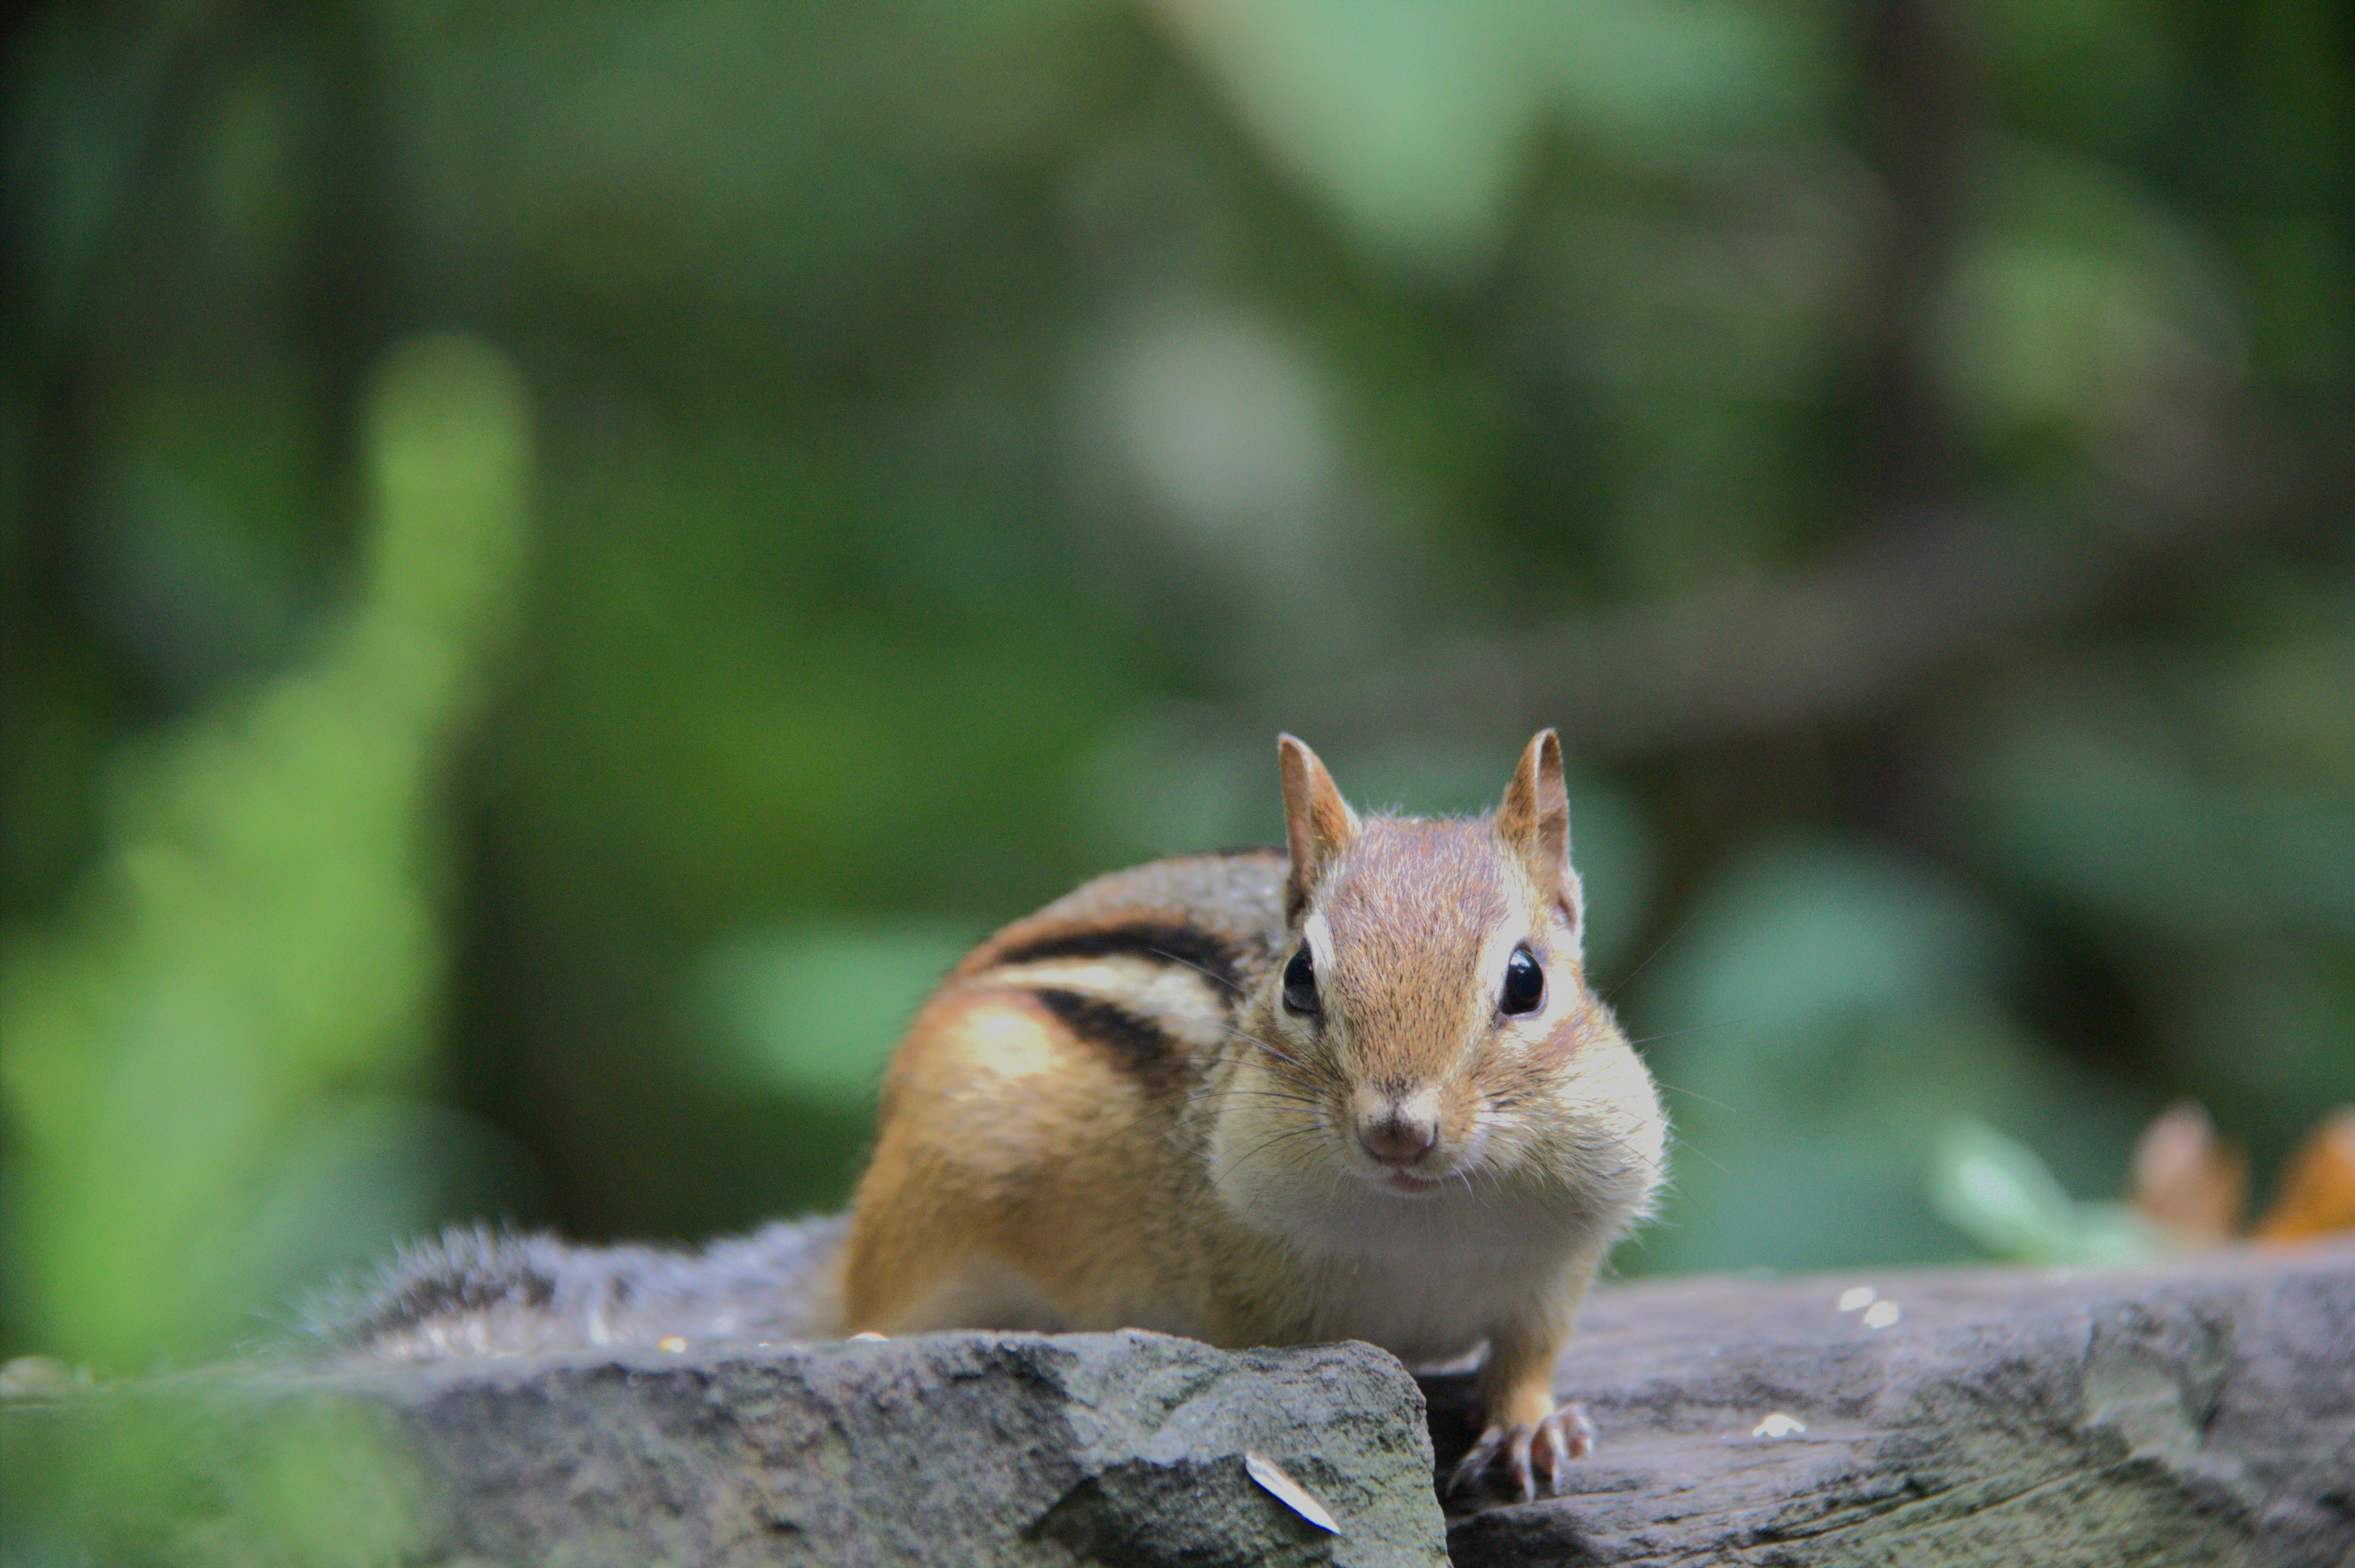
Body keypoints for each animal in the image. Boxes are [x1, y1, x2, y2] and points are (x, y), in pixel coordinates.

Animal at [319, 731, 1666, 1502]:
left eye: (1527, 979)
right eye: (1297, 979)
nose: (1398, 1128)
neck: (1429, 1220)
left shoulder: (1557, 1261)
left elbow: (1532, 1349)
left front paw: (1534, 1429)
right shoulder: (1251, 1287)